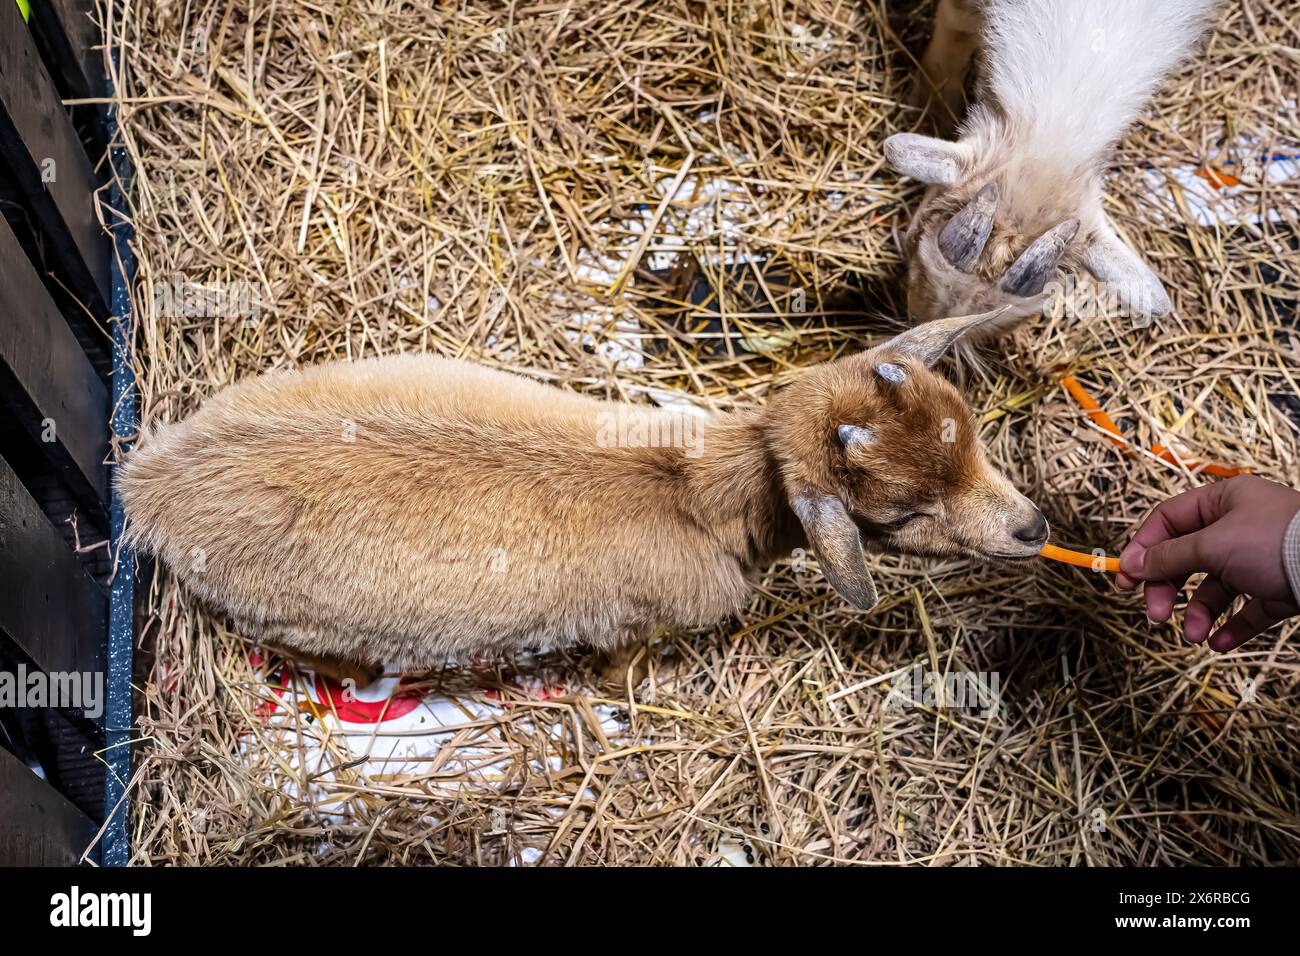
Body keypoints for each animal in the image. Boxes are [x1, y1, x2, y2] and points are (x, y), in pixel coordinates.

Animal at [118, 313, 1049, 682]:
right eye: (898, 515)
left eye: (971, 430)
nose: (1033, 528)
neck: (705, 493)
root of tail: (148, 484)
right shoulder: (636, 622)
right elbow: (620, 666)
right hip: (297, 622)